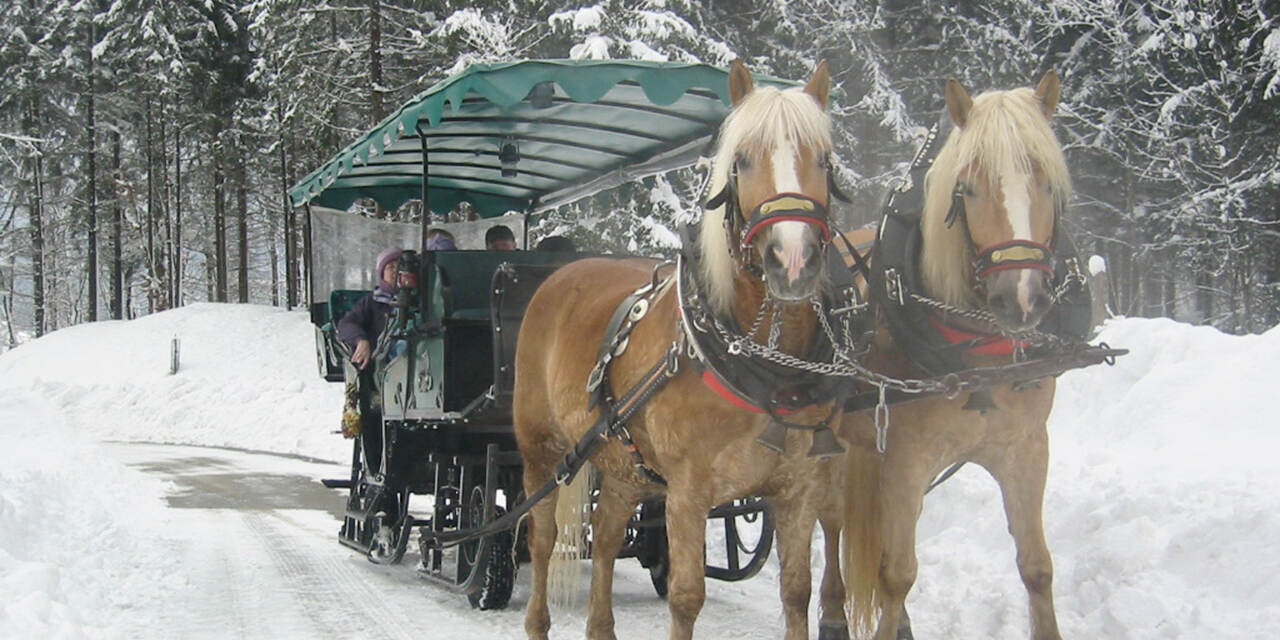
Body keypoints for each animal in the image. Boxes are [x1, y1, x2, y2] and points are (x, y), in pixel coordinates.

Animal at [514, 60, 851, 640]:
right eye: (741, 160)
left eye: (823, 159)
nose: (793, 260)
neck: (758, 365)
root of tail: (561, 273)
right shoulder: (688, 492)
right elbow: (687, 596)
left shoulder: (798, 489)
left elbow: (796, 592)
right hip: (541, 451)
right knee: (540, 538)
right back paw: (537, 621)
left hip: (622, 464)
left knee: (606, 536)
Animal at [840, 70, 1074, 640]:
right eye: (966, 189)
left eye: (1049, 184)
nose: (1021, 298)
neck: (975, 351)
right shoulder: (904, 458)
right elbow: (897, 574)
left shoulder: (1027, 448)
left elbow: (1037, 567)